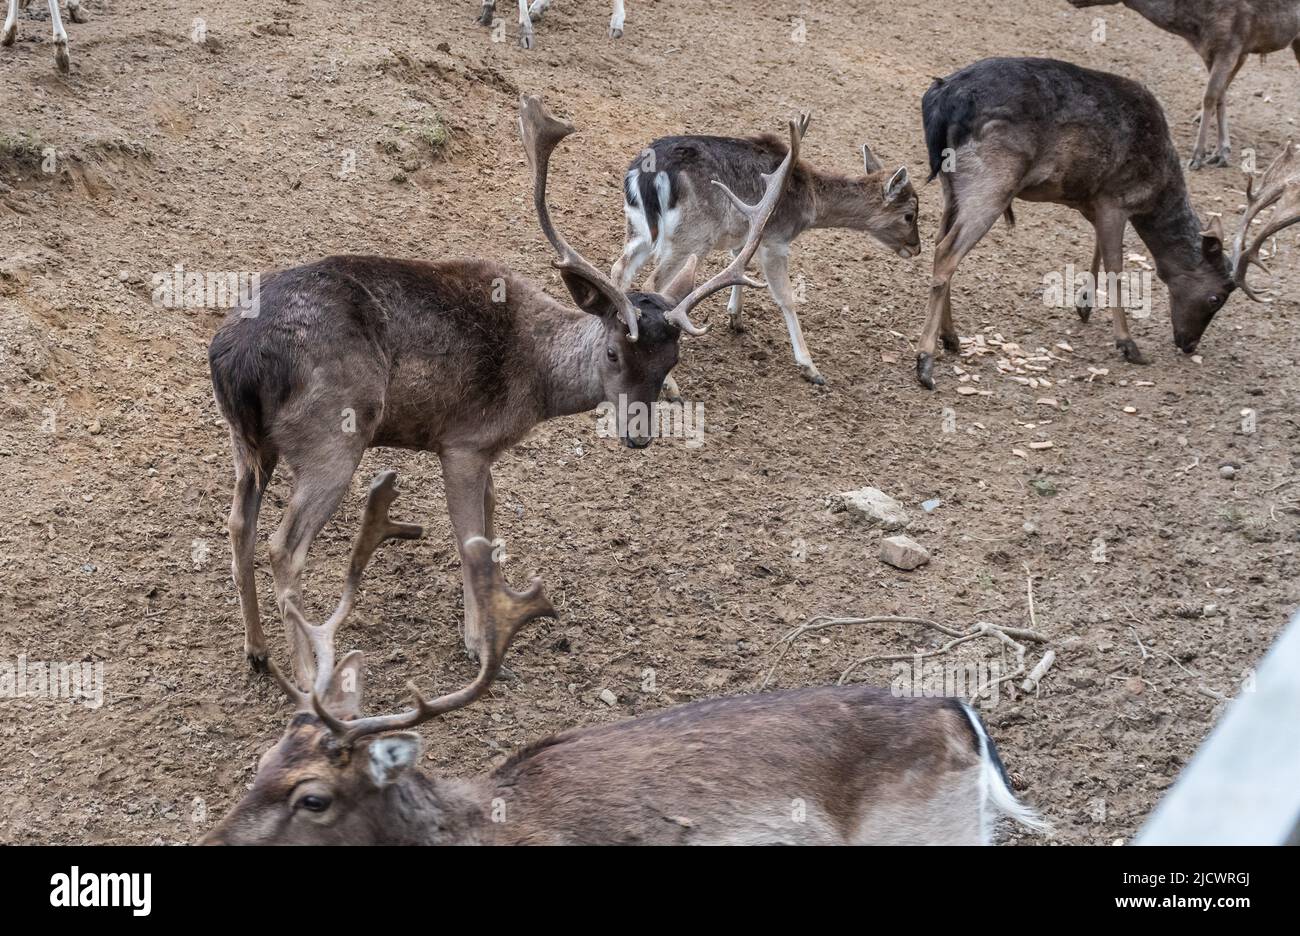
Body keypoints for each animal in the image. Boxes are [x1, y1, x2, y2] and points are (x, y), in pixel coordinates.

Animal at [208, 94, 801, 682]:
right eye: (614, 351)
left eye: (671, 361)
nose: (638, 436)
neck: (535, 385)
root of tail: (234, 356)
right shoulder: (463, 442)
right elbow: (471, 544)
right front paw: (480, 646)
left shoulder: (487, 450)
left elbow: (490, 533)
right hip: (332, 437)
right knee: (283, 546)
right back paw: (308, 675)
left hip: (248, 441)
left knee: (238, 525)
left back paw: (257, 651)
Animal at [611, 115, 921, 388]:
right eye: (910, 215)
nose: (916, 248)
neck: (810, 203)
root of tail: (645, 174)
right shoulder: (776, 240)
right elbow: (786, 297)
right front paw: (810, 367)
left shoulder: (743, 235)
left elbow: (740, 266)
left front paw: (735, 318)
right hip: (691, 237)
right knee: (654, 285)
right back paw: (668, 381)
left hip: (639, 229)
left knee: (619, 269)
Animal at [914, 56, 1299, 389]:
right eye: (1217, 298)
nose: (1188, 344)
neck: (1157, 185)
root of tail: (942, 98)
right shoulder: (1117, 198)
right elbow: (1117, 266)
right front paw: (1129, 345)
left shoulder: (1093, 199)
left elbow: (1098, 247)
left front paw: (1083, 304)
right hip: (992, 180)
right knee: (947, 252)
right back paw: (925, 363)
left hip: (952, 186)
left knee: (937, 242)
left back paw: (951, 337)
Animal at [1064, 1, 1300, 169]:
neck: (1193, 26)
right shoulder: (1212, 51)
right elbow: (1220, 95)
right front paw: (1221, 152)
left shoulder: (1231, 44)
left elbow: (1210, 96)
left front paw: (1199, 157)